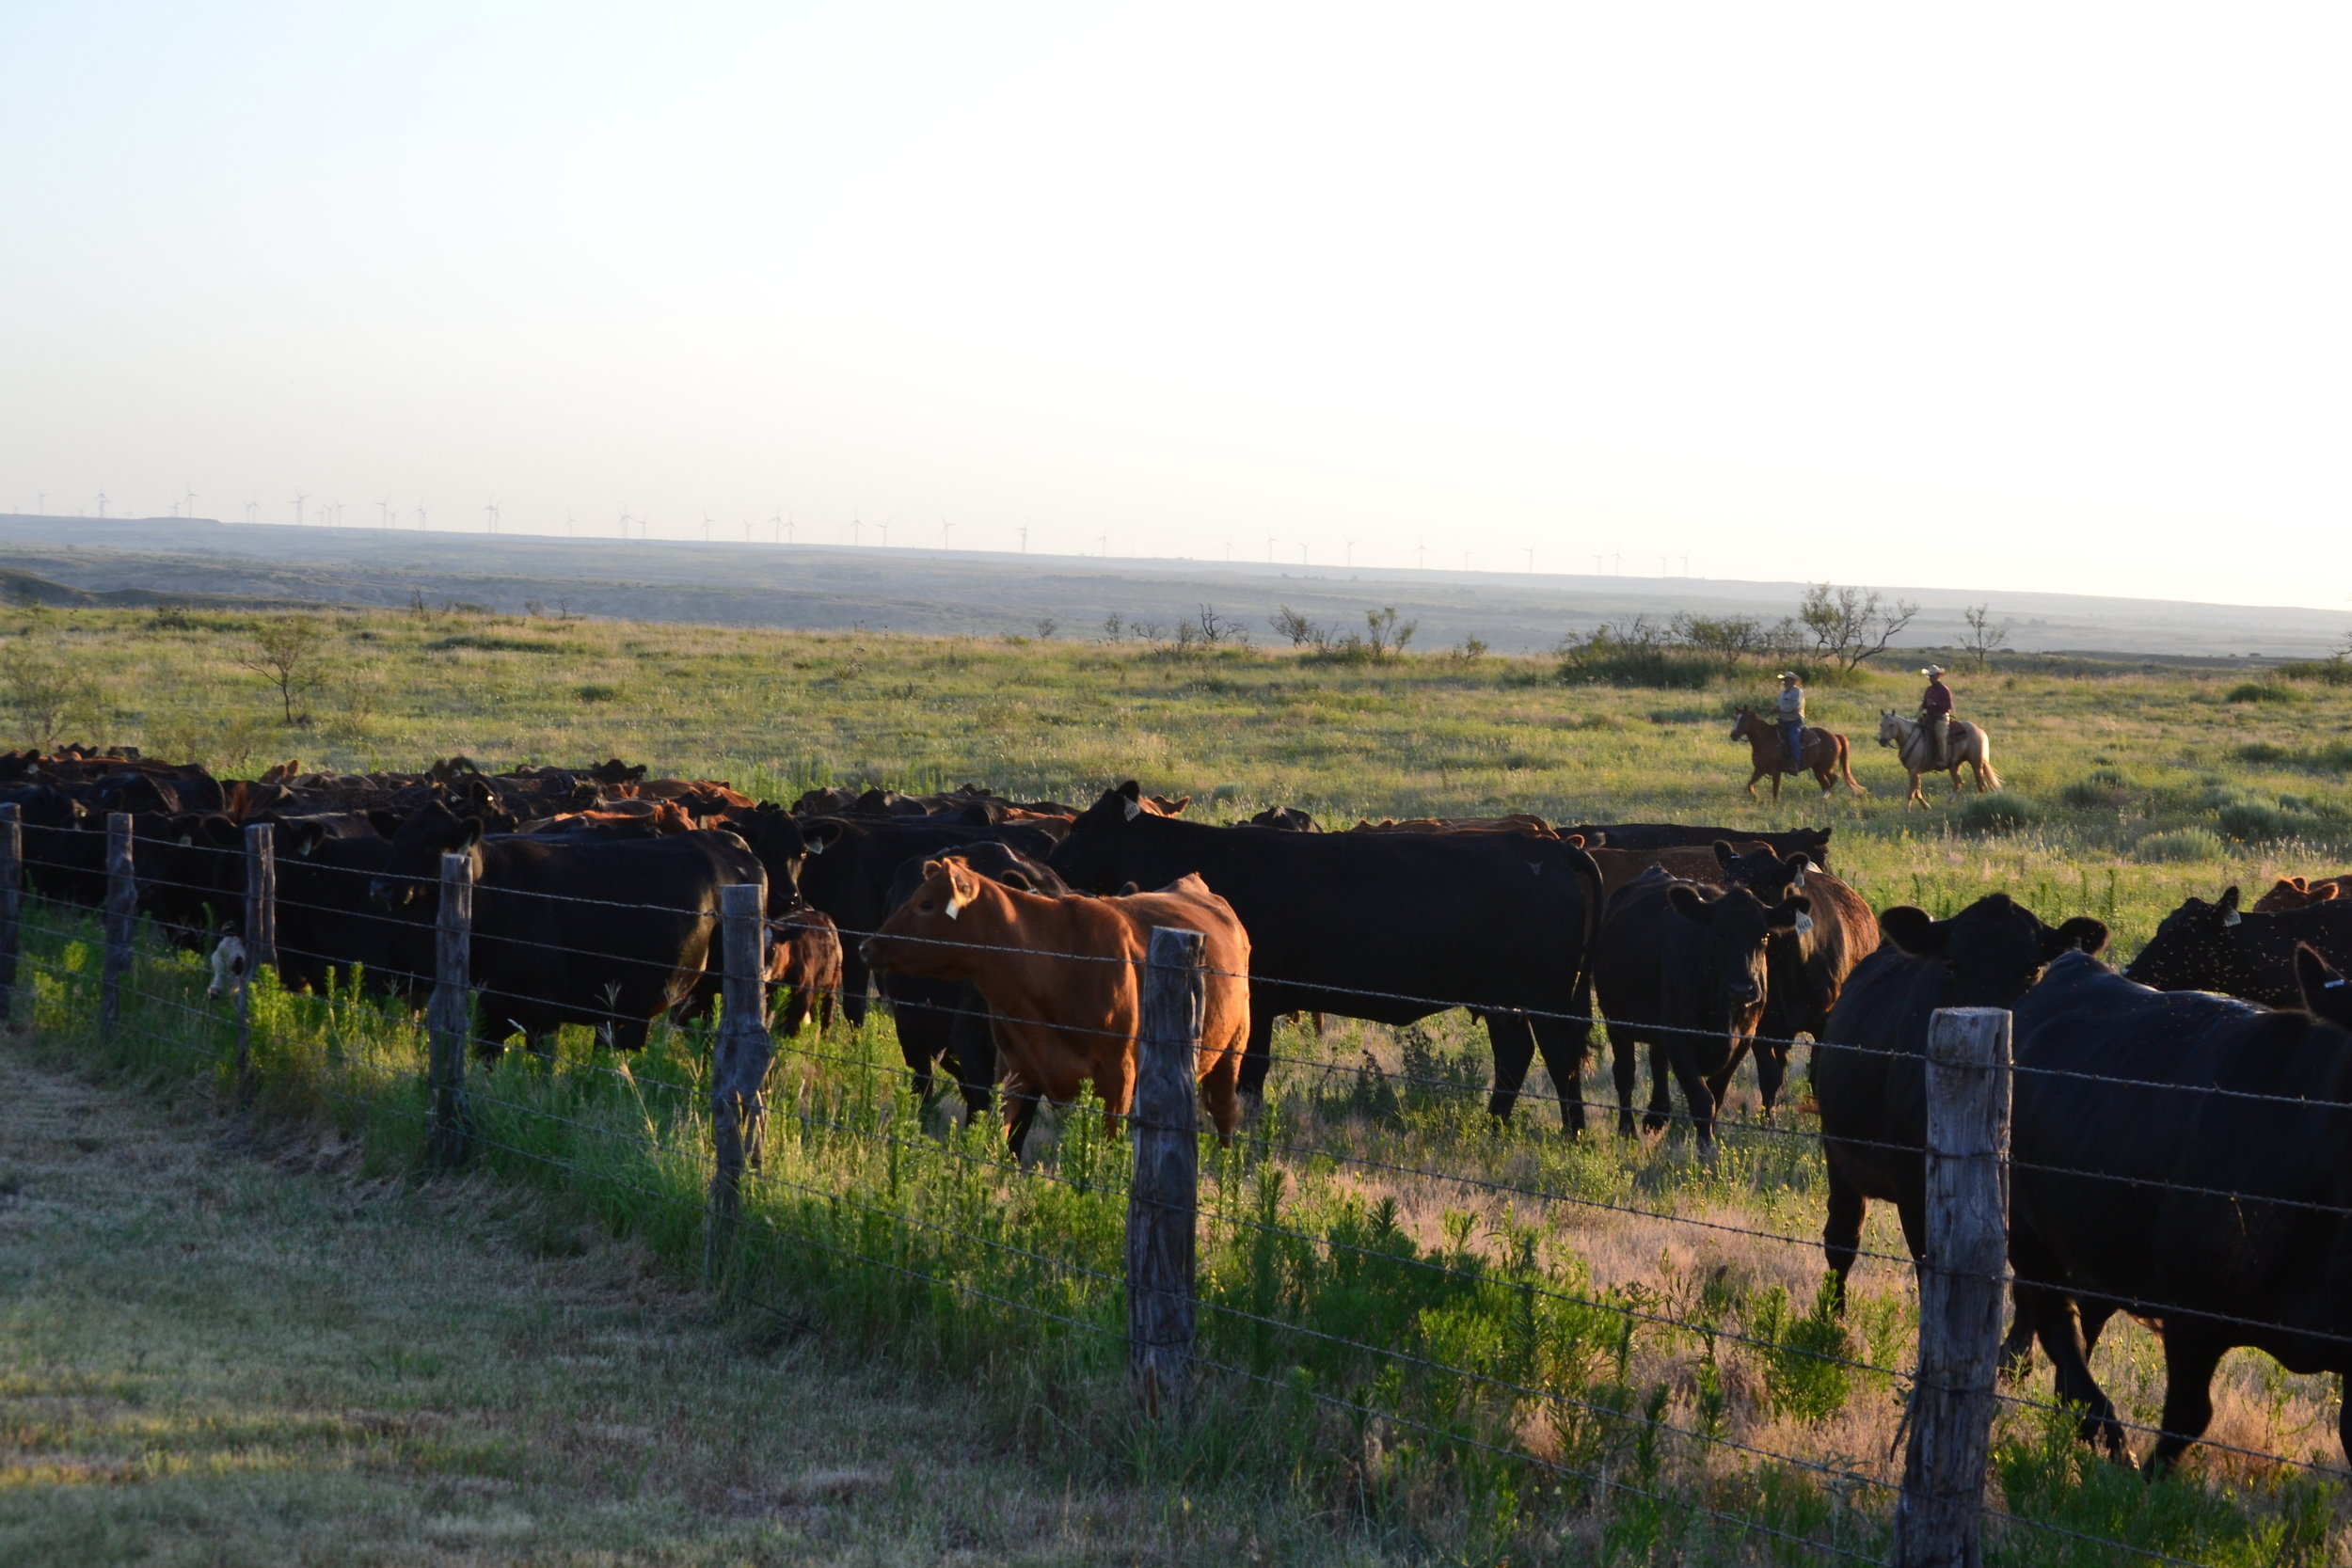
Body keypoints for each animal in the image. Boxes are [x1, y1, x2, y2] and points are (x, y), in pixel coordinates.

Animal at [371, 801, 765, 1057]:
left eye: (433, 845)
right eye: (397, 839)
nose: (381, 888)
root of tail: (730, 841)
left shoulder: (544, 1014)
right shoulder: (490, 1010)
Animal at [861, 857, 1248, 1152]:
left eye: (926, 904)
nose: (868, 946)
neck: (1056, 966)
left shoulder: (1119, 1076)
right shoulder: (1013, 1069)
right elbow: (1001, 1138)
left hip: (1233, 1046)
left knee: (1225, 1110)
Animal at [1049, 781, 1607, 1132]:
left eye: (1081, 828)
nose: (1051, 860)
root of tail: (1554, 846)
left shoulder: (1259, 996)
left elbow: (1251, 1069)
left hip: (1544, 997)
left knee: (1558, 1058)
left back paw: (1572, 1135)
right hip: (1501, 1002)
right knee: (1515, 1055)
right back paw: (1493, 1127)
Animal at [1589, 871, 1811, 1146]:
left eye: (1764, 936)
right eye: (1716, 934)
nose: (1742, 989)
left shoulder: (1743, 1039)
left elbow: (1716, 1095)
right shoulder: (1679, 1038)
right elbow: (1703, 1100)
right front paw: (1706, 1148)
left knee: (1656, 1060)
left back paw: (1656, 1115)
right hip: (1616, 1023)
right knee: (1625, 1074)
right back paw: (1627, 1130)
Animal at [1811, 894, 2109, 1311]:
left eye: (2033, 968)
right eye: (1951, 964)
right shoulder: (1913, 1183)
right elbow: (1930, 1267)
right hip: (1838, 1154)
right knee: (1842, 1237)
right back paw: (1831, 1320)